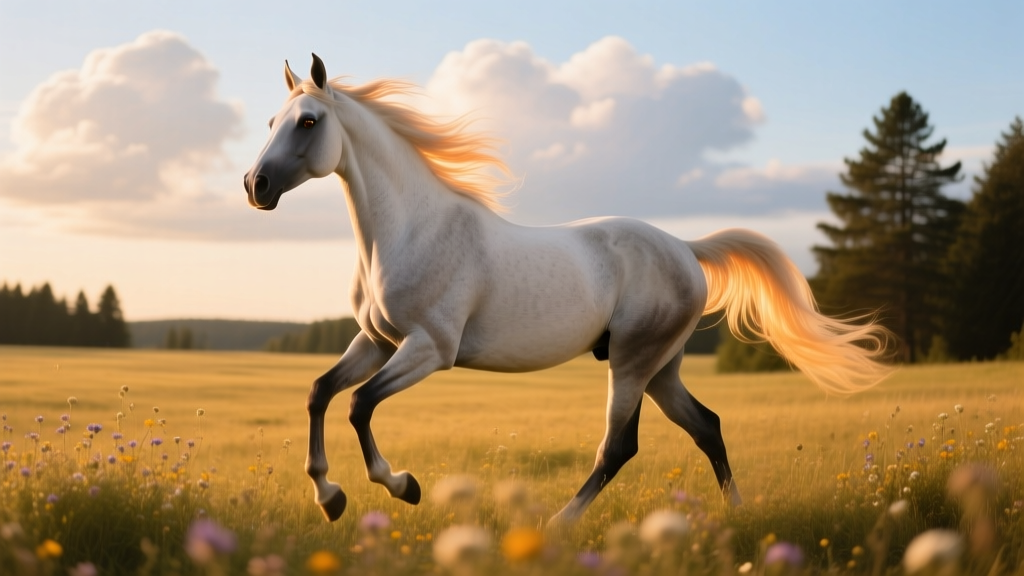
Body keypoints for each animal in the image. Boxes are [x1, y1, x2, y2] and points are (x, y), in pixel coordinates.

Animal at [243, 54, 893, 525]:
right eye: (272, 122)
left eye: (308, 122)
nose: (256, 185)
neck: (410, 230)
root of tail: (686, 248)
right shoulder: (376, 340)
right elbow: (320, 393)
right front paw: (329, 498)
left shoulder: (430, 348)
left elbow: (359, 405)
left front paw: (403, 487)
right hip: (662, 368)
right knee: (706, 425)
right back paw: (736, 516)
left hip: (632, 361)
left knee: (619, 447)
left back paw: (557, 524)